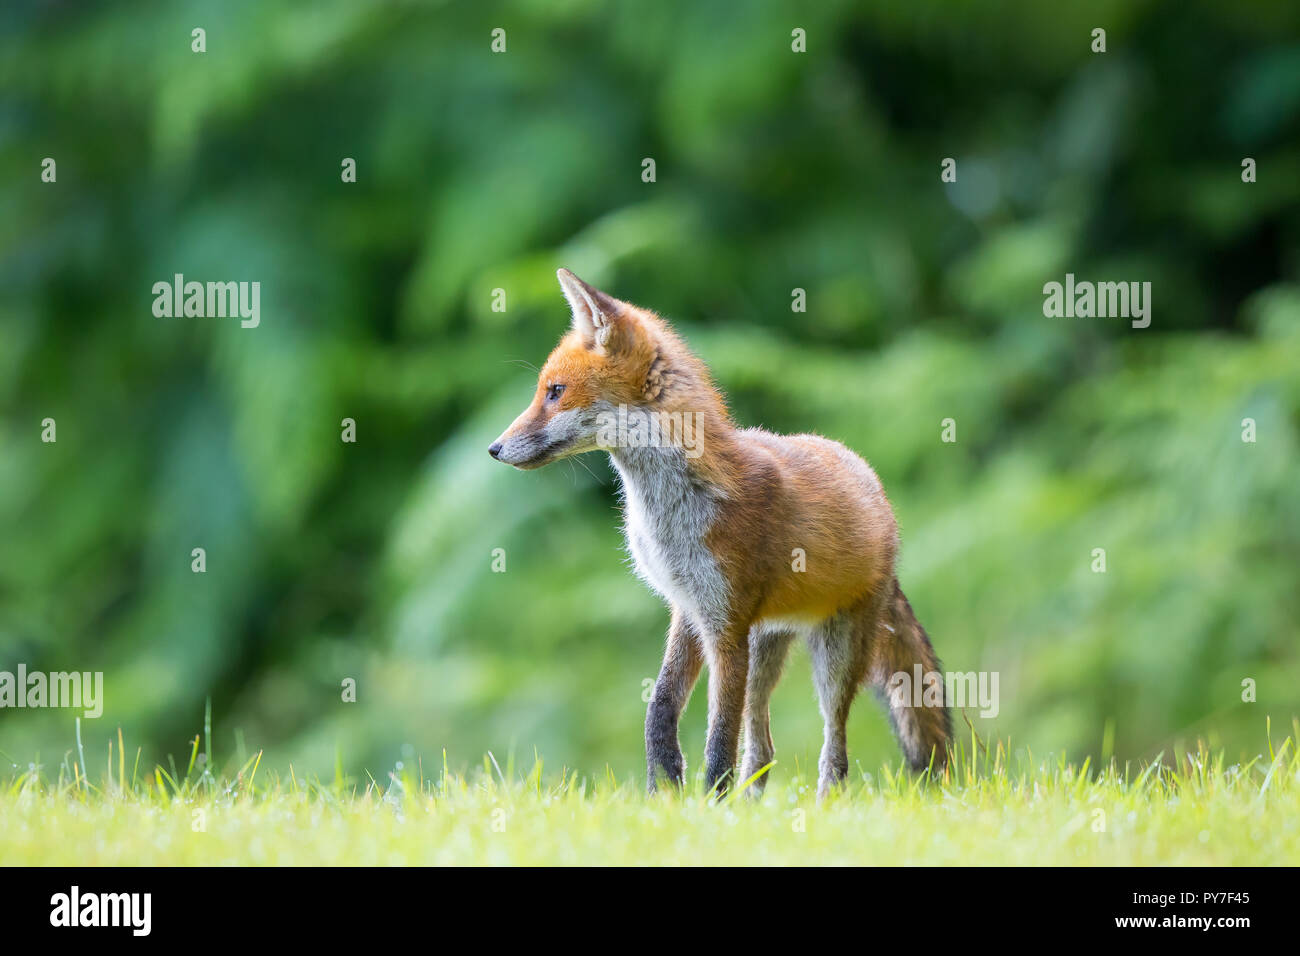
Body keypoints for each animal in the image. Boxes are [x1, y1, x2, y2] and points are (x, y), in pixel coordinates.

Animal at [490, 269, 952, 797]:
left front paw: (710, 802)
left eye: (555, 391)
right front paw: (663, 789)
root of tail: (879, 494)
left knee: (833, 755)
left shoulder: (724, 623)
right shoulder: (688, 609)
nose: (494, 448)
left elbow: (719, 738)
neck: (670, 514)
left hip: (833, 657)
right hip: (765, 648)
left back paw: (820, 805)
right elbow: (660, 709)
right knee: (763, 749)